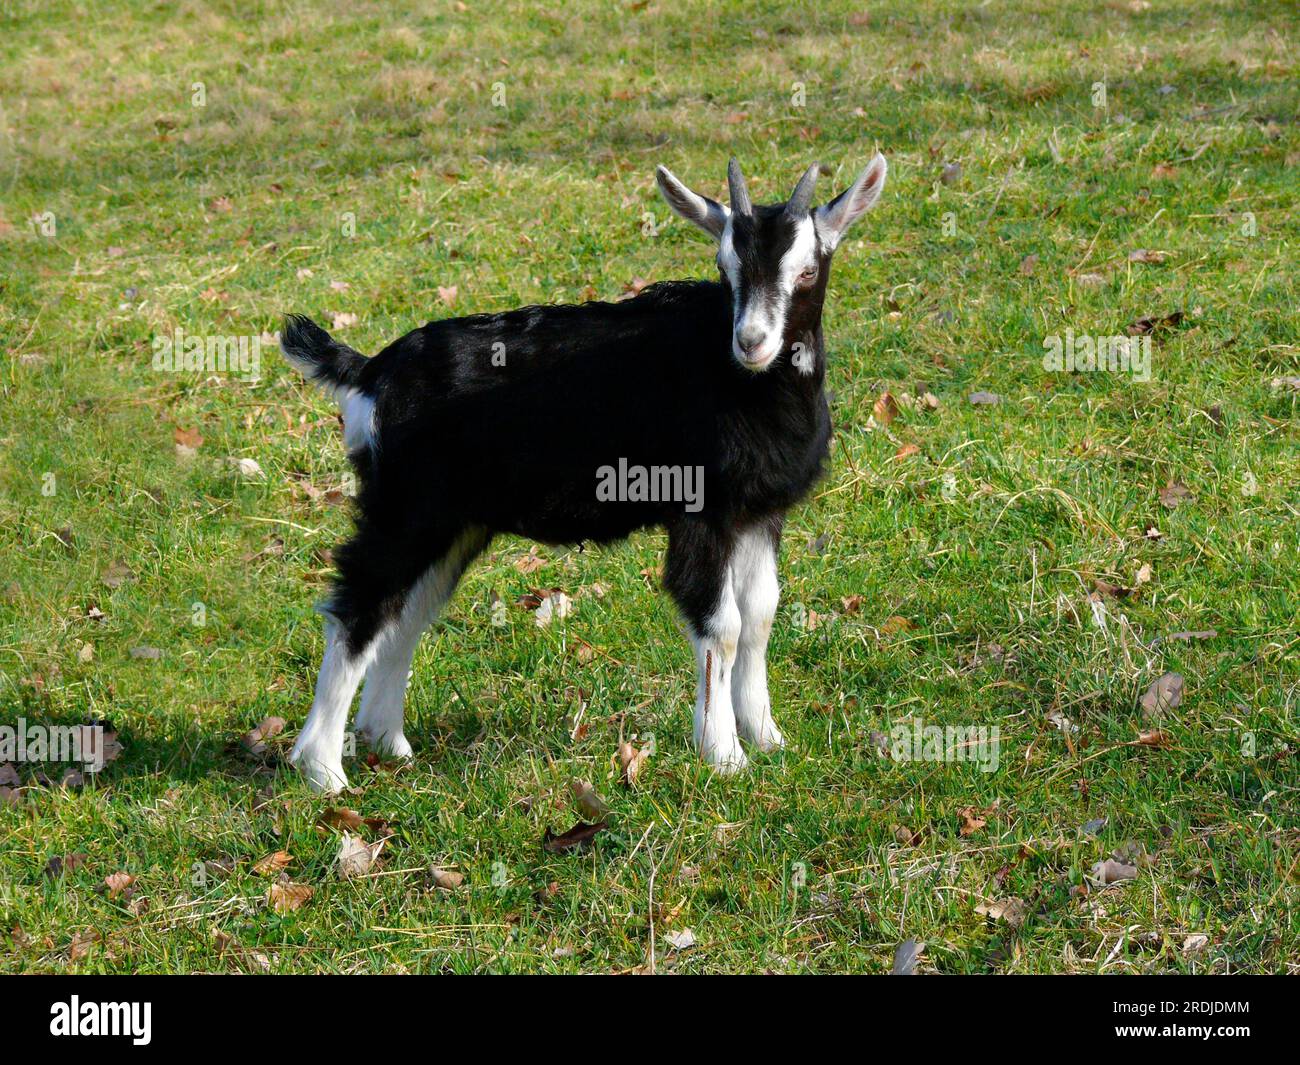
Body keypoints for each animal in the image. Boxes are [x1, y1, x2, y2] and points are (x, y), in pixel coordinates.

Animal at [281, 155, 887, 791]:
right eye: (725, 269)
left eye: (807, 270)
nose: (751, 342)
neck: (745, 386)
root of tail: (369, 374)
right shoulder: (702, 512)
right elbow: (721, 624)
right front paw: (724, 755)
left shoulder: (759, 513)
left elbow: (761, 614)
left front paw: (769, 739)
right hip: (405, 509)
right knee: (358, 609)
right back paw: (323, 769)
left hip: (454, 522)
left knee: (406, 616)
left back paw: (388, 743)